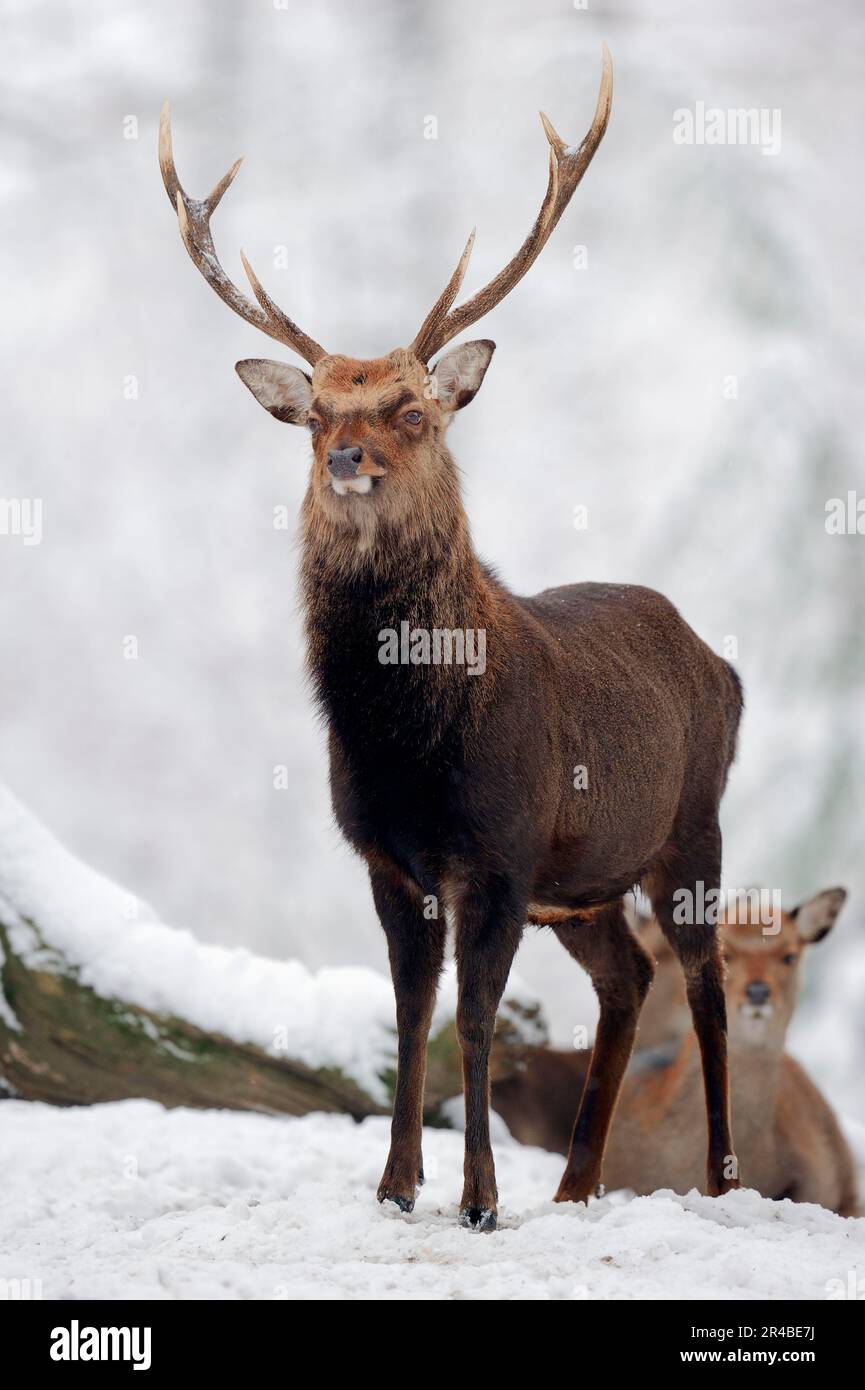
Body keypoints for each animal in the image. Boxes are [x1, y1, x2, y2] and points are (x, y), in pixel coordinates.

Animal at [159, 47, 745, 1231]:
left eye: (412, 409)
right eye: (315, 415)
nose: (348, 458)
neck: (410, 744)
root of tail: (726, 667)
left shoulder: (502, 852)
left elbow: (472, 1017)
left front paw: (475, 1197)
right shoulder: (390, 857)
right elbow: (407, 1016)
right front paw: (394, 1186)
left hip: (690, 824)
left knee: (703, 987)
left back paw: (715, 1180)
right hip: (587, 882)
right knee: (628, 978)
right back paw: (574, 1185)